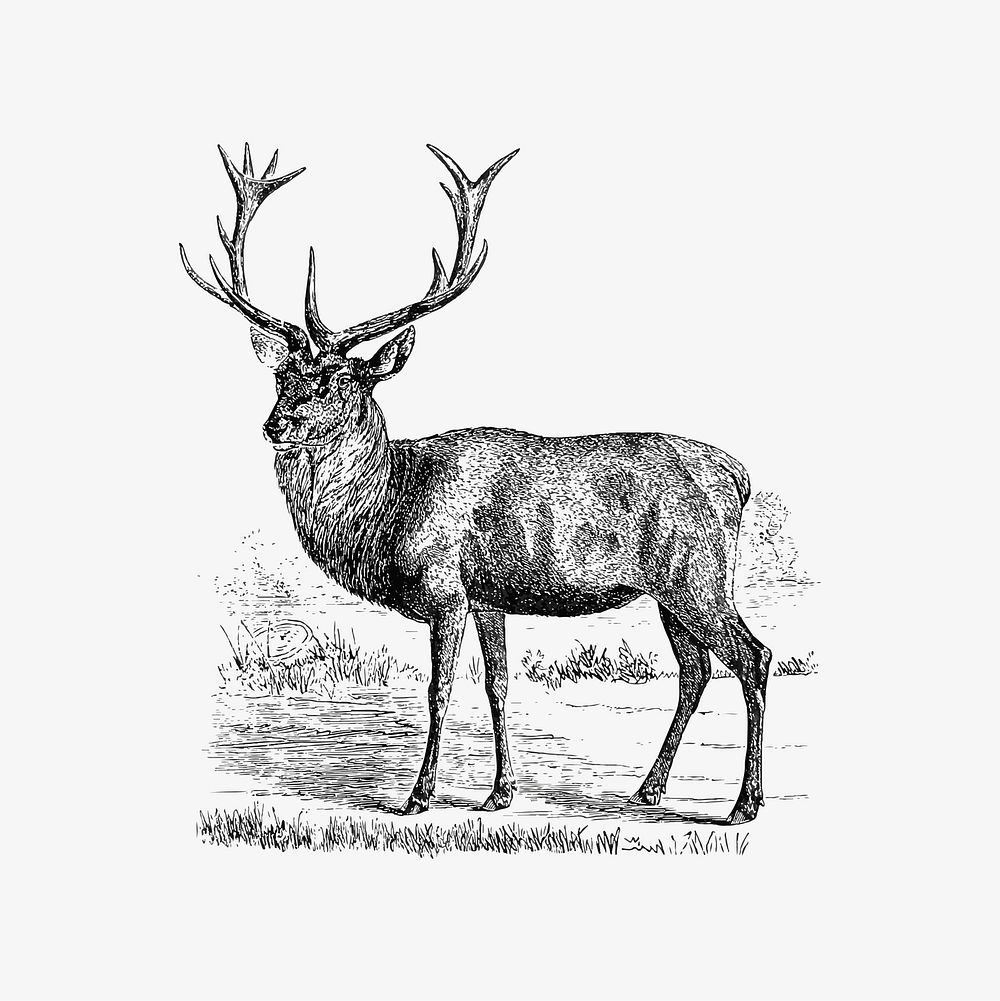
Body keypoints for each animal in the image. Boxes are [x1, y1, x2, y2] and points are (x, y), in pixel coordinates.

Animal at [180, 142, 772, 824]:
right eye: (283, 377)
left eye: (347, 379)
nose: (277, 424)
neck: (389, 505)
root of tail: (740, 478)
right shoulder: (489, 595)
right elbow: (497, 683)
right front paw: (500, 792)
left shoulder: (447, 589)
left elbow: (439, 688)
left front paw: (419, 795)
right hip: (674, 593)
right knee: (696, 669)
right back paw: (649, 789)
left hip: (699, 579)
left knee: (754, 659)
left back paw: (744, 804)